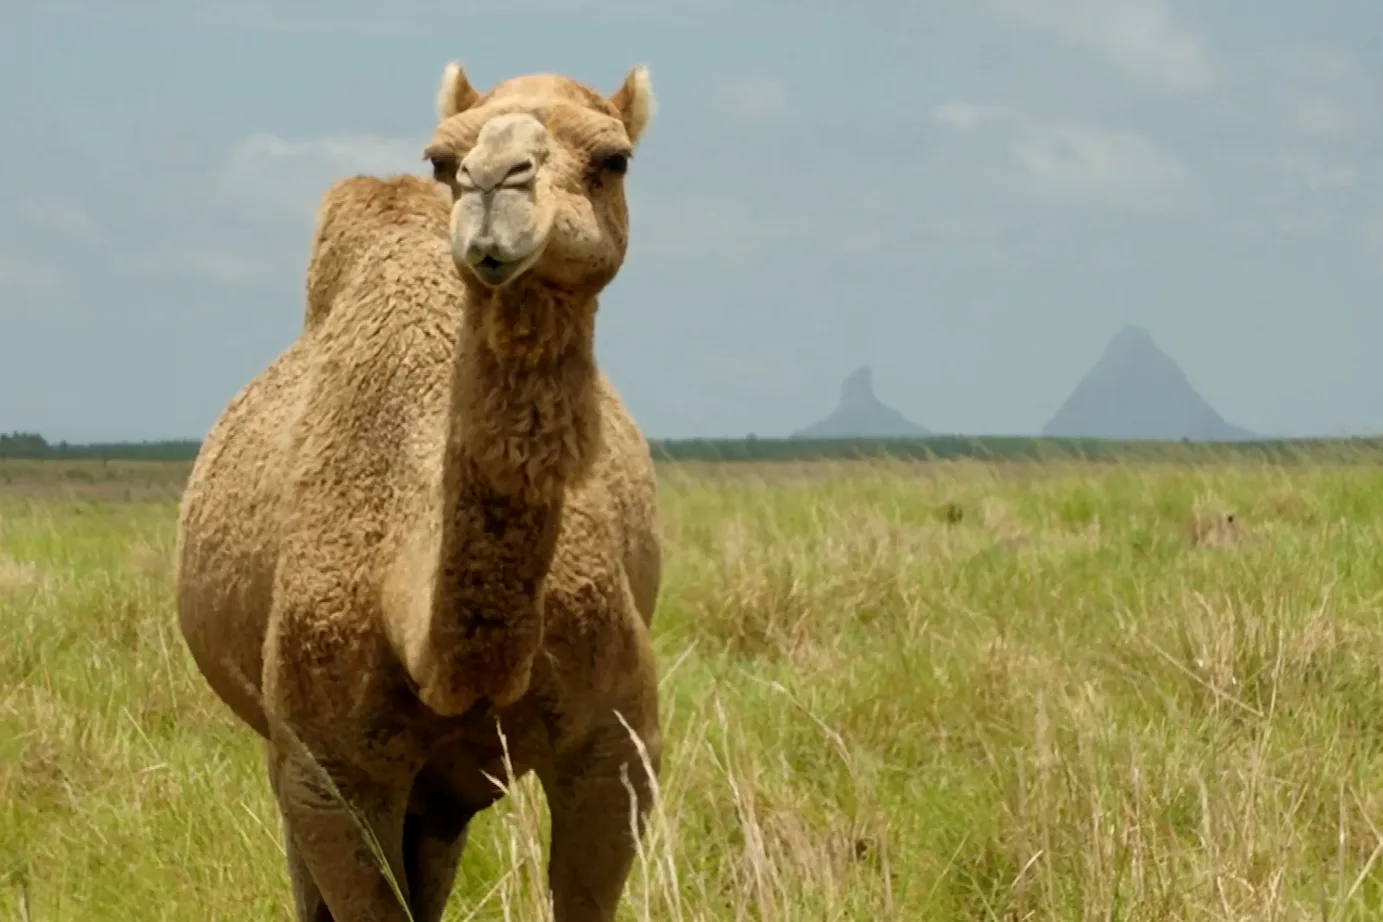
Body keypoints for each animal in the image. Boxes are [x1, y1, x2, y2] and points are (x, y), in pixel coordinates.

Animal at [174, 60, 662, 922]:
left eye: (614, 158)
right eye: (442, 159)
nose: (493, 181)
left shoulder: (618, 746)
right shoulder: (327, 770)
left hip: (442, 792)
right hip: (291, 754)